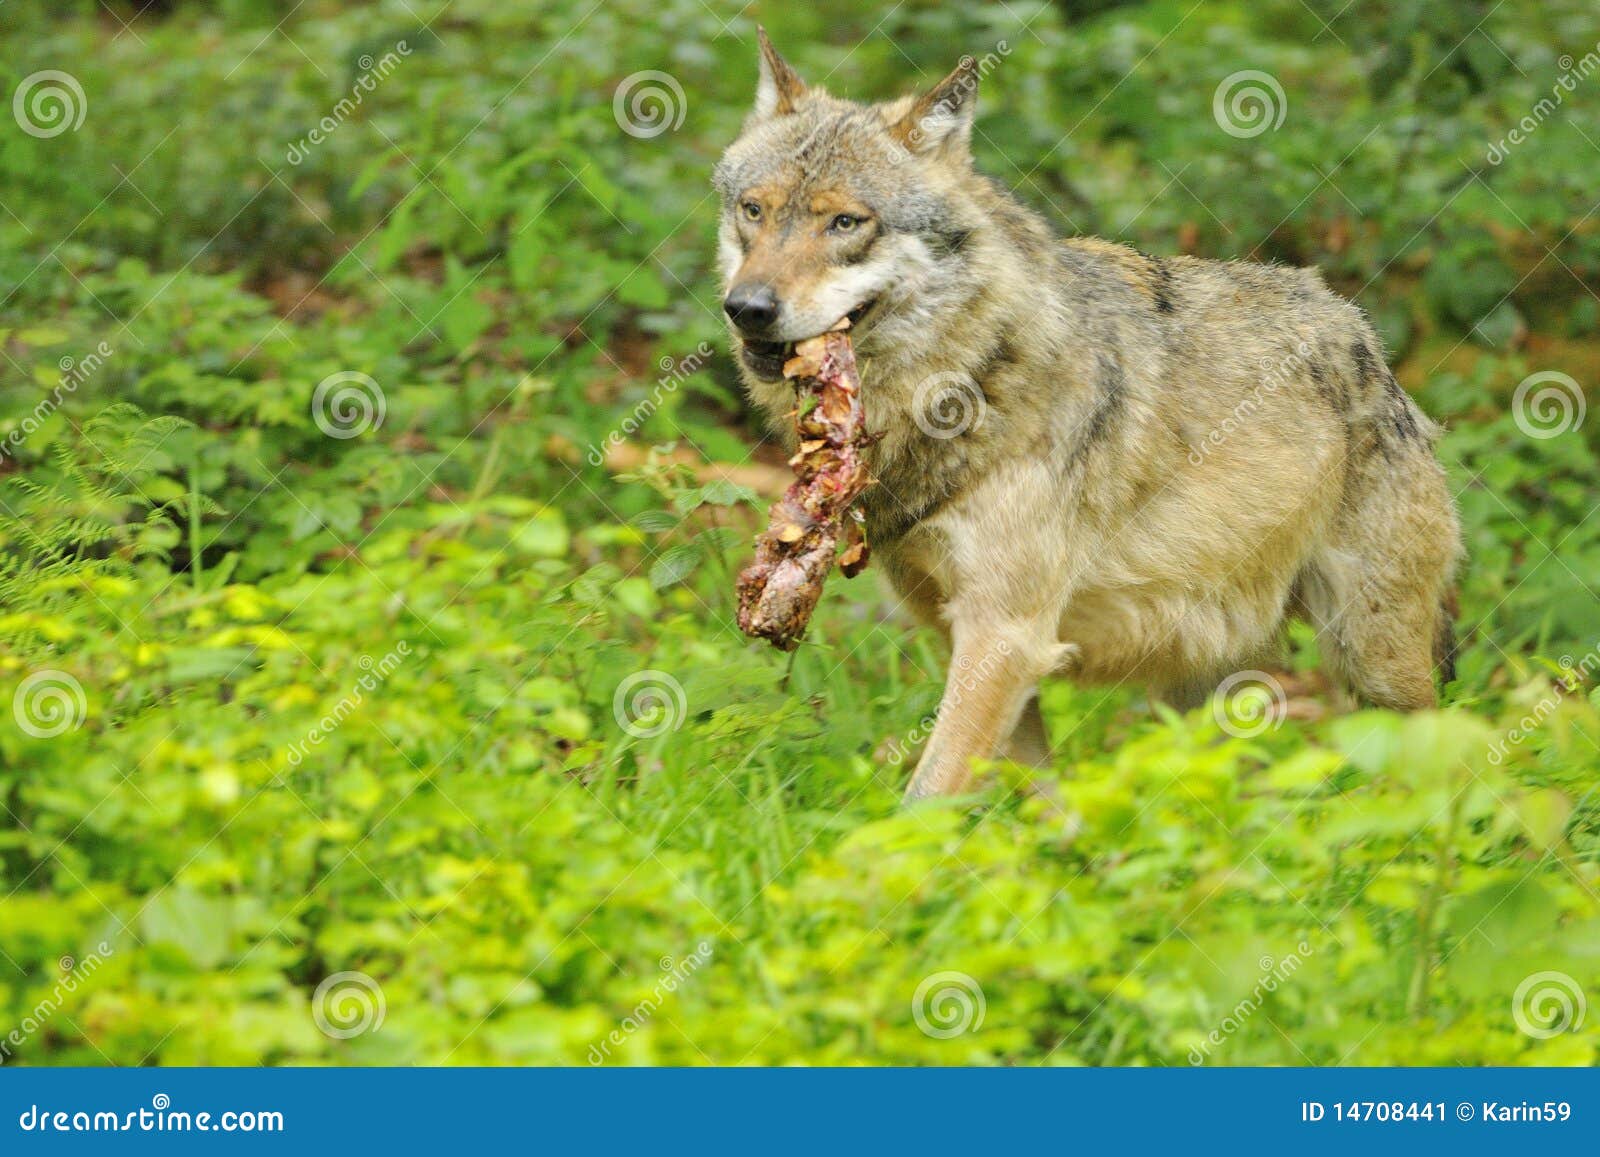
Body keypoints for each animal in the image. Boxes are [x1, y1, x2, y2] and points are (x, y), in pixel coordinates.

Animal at [715, 31, 1462, 800]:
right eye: (754, 211)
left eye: (845, 222)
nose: (748, 308)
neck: (965, 378)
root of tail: (1361, 332)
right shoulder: (975, 639)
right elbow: (1034, 800)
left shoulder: (1005, 636)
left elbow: (927, 796)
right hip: (1203, 684)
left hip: (1374, 661)